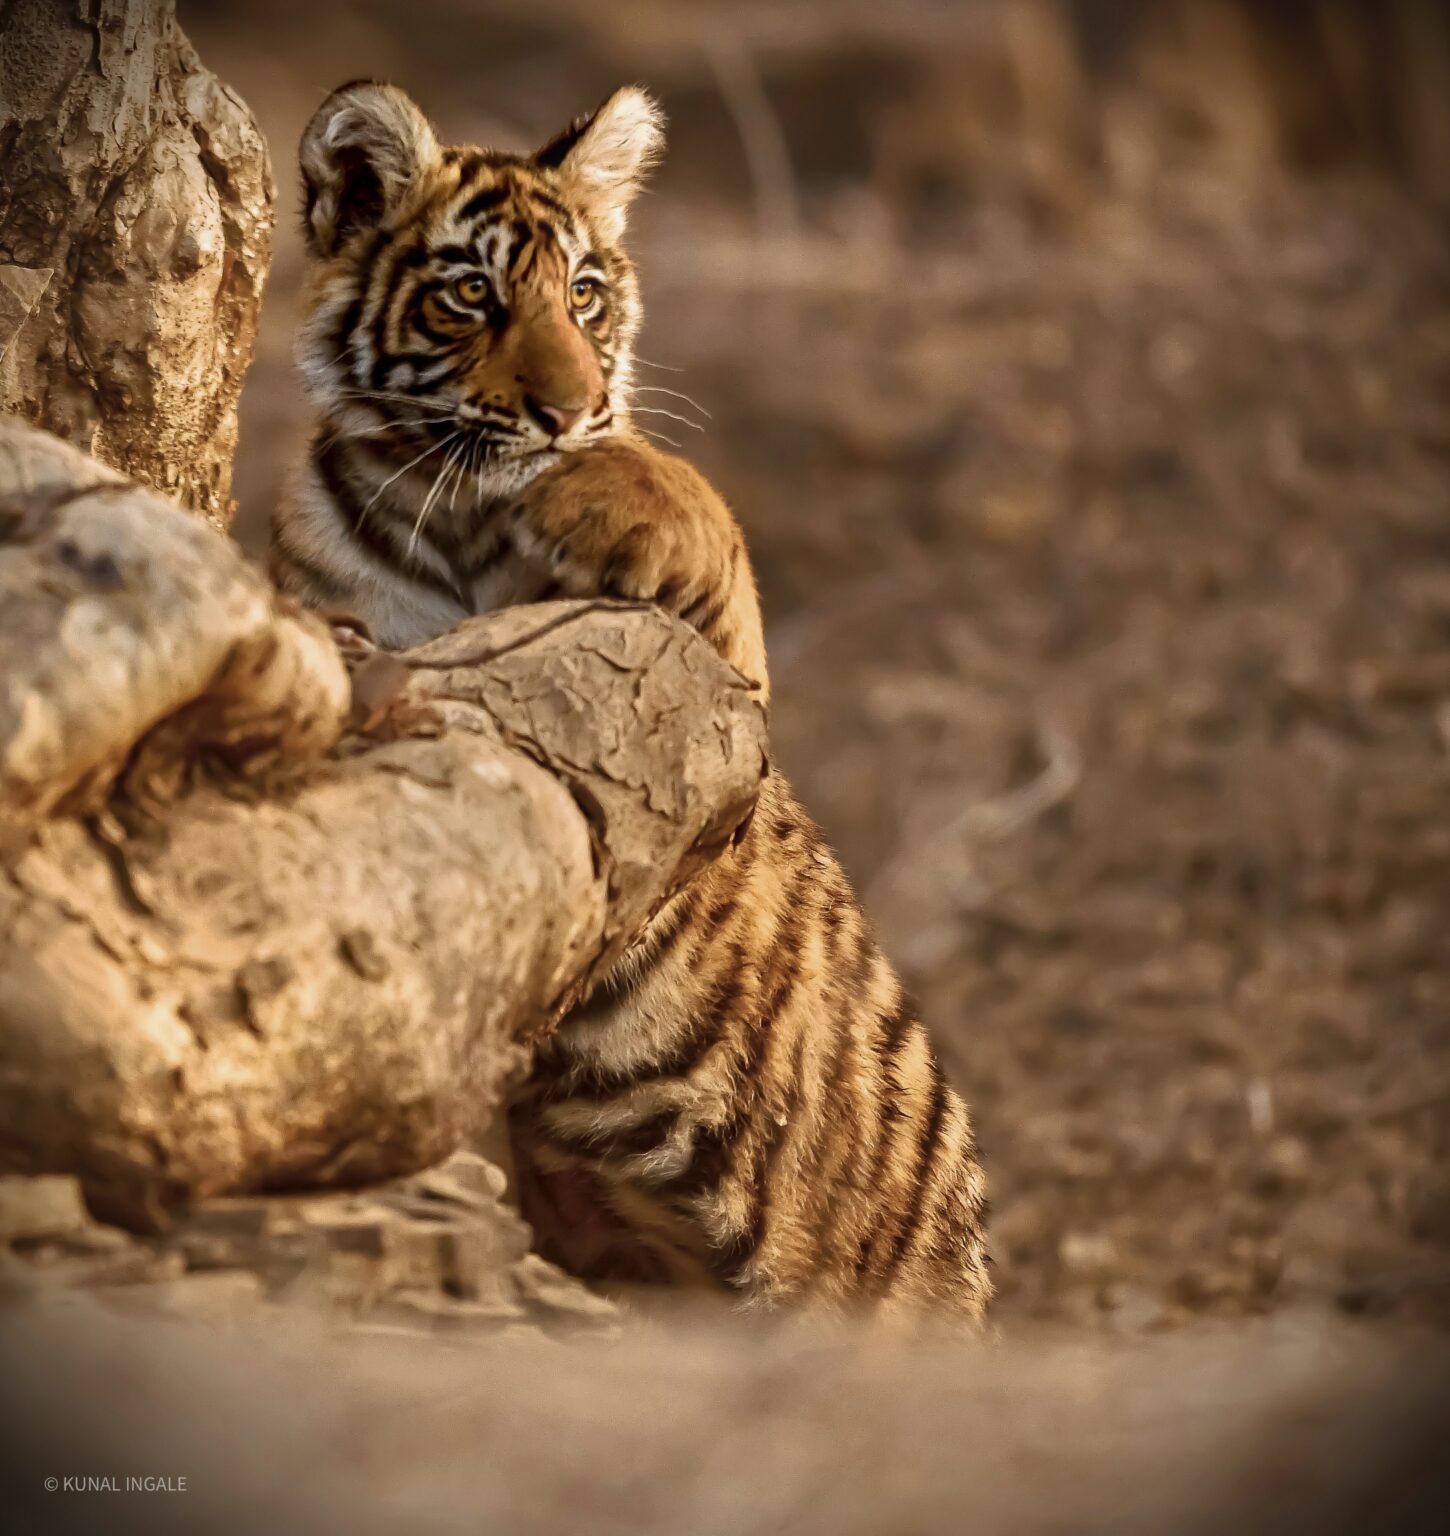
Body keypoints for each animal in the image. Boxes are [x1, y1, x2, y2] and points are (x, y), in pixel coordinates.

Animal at [271, 81, 991, 1325]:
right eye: (472, 294)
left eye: (586, 295)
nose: (567, 409)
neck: (460, 521)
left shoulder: (723, 710)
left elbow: (700, 509)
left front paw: (606, 489)